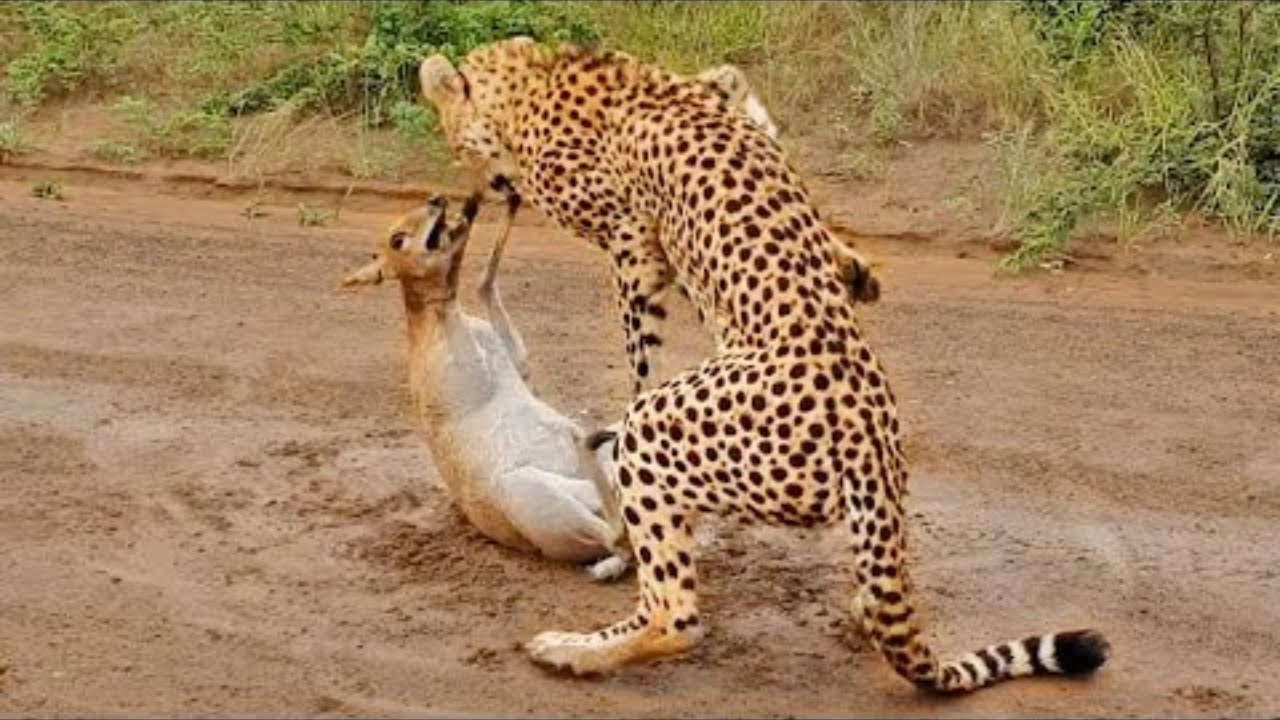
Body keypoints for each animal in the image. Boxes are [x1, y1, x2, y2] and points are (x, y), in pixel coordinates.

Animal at [416, 37, 1108, 694]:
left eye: (454, 141)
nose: (480, 191)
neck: (537, 80)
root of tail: (872, 448)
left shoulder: (631, 244)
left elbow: (639, 347)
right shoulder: (719, 96)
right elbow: (760, 122)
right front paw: (854, 268)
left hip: (661, 434)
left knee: (675, 613)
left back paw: (572, 649)